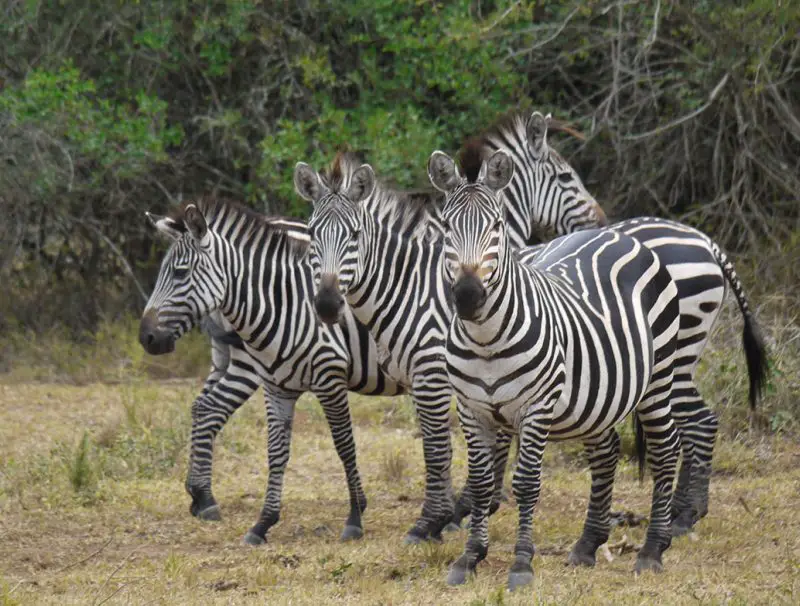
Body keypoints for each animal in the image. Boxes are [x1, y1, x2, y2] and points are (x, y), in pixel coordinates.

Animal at [139, 197, 442, 545]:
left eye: (180, 273)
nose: (146, 338)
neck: (281, 299)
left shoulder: (329, 375)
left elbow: (345, 446)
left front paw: (356, 515)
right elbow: (280, 450)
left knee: (205, 407)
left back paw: (202, 496)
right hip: (235, 360)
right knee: (206, 407)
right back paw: (203, 497)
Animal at [428, 148, 684, 590]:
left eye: (497, 227)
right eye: (446, 228)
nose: (468, 296)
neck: (485, 339)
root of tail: (616, 234)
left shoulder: (537, 407)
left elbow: (527, 484)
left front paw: (521, 564)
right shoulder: (471, 409)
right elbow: (480, 484)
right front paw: (469, 557)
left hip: (660, 377)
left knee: (666, 449)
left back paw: (652, 550)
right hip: (600, 396)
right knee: (606, 453)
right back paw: (587, 545)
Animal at [471, 110, 769, 532]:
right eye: (567, 178)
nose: (600, 218)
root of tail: (707, 243)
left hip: (673, 357)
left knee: (698, 423)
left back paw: (683, 514)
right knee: (696, 424)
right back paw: (682, 511)